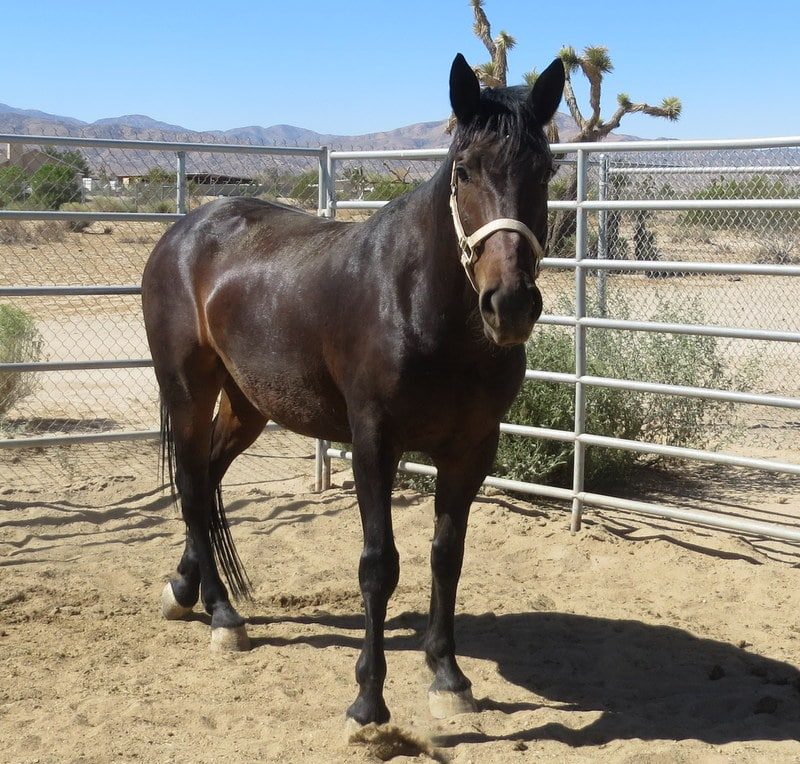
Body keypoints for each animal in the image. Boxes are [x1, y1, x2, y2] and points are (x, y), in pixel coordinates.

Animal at [141, 52, 564, 729]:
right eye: (465, 169)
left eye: (545, 170)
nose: (510, 305)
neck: (420, 305)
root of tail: (184, 230)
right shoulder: (373, 443)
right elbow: (379, 564)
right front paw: (368, 700)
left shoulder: (472, 447)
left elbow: (447, 555)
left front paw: (448, 676)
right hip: (188, 392)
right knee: (190, 482)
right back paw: (223, 615)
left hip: (247, 405)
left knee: (205, 480)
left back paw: (186, 592)